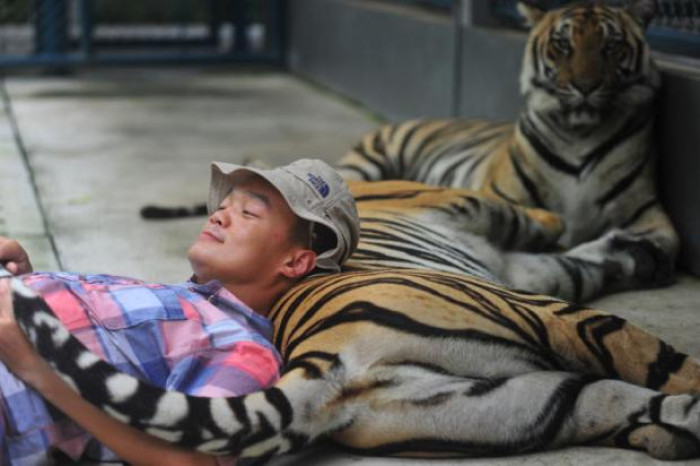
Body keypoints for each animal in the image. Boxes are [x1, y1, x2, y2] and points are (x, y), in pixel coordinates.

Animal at [4, 180, 700, 464]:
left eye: (245, 213)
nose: (658, 258)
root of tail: (327, 363)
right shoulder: (482, 215)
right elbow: (539, 222)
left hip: (525, 404)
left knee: (638, 402)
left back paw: (671, 437)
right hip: (552, 334)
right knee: (667, 370)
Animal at [336, 0, 679, 303]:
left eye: (611, 46)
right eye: (562, 45)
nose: (585, 86)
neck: (579, 135)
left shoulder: (651, 220)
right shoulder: (501, 199)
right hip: (372, 167)